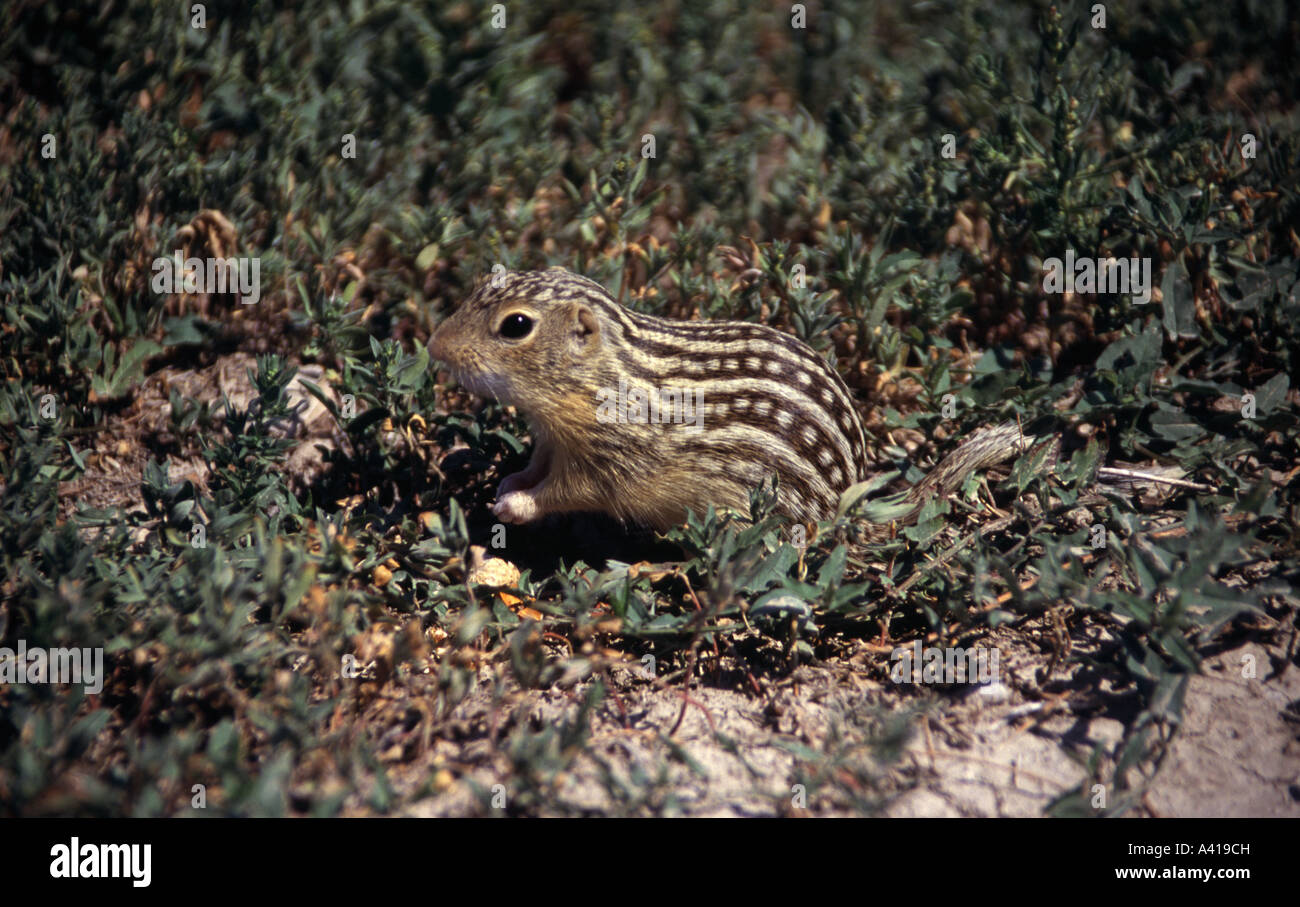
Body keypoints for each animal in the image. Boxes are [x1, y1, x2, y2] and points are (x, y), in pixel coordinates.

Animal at [430, 267, 1035, 532]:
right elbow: (537, 466)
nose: (434, 346)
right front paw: (509, 483)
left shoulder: (611, 461)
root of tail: (848, 502)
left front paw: (514, 505)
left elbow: (568, 492)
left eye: (515, 326)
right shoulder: (553, 440)